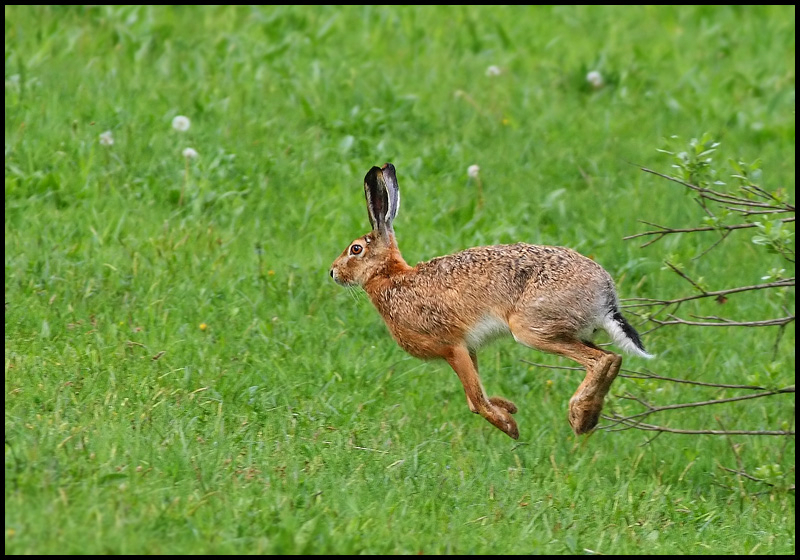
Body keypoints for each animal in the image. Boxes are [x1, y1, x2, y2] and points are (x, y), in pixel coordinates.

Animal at [329, 163, 653, 440]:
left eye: (355, 249)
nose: (333, 272)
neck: (391, 277)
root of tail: (606, 295)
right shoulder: (467, 349)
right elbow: (477, 396)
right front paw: (509, 408)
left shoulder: (453, 346)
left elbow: (475, 400)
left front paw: (509, 427)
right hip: (570, 330)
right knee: (613, 358)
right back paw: (589, 417)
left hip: (532, 328)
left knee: (601, 360)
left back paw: (578, 416)